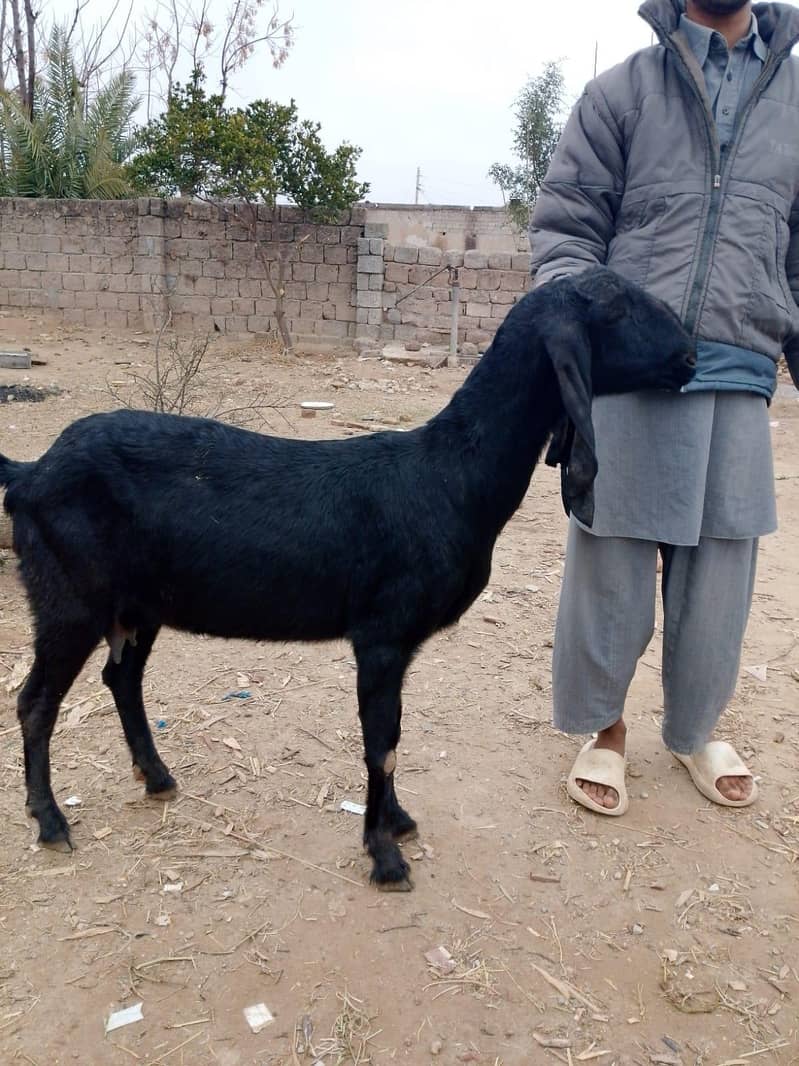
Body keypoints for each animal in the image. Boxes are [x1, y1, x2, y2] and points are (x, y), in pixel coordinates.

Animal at [0, 267, 695, 890]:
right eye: (618, 307)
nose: (690, 356)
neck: (448, 477)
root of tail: (31, 472)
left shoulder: (398, 645)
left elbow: (393, 735)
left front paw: (398, 821)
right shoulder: (382, 636)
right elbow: (380, 742)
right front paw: (385, 857)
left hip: (138, 604)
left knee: (121, 677)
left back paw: (158, 777)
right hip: (68, 597)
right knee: (36, 700)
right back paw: (51, 821)